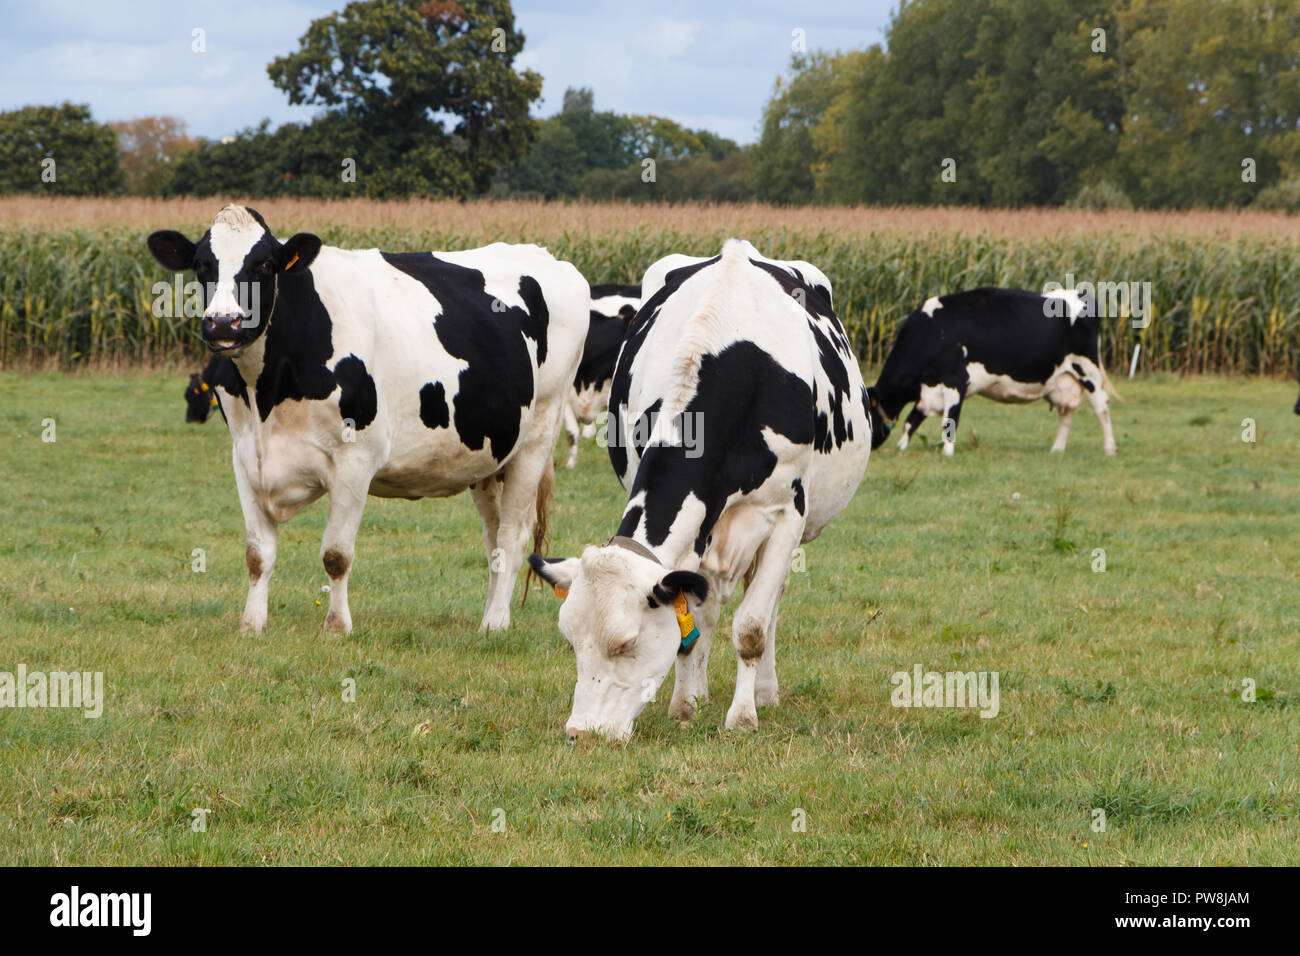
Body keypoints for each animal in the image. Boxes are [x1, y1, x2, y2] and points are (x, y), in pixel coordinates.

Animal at [147, 204, 588, 634]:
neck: (268, 395)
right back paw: (489, 620)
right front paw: (251, 626)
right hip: (489, 453)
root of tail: (548, 257)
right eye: (202, 265)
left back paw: (495, 624)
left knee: (512, 536)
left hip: (537, 437)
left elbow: (336, 555)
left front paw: (337, 627)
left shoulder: (355, 461)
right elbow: (258, 554)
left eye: (265, 265)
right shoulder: (246, 458)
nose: (224, 323)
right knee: (494, 539)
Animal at [872, 287, 1118, 457]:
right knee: (1066, 413)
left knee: (1102, 408)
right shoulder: (928, 390)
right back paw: (1057, 449)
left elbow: (950, 420)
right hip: (1064, 379)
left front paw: (947, 452)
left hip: (1089, 370)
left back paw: (1109, 449)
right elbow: (911, 421)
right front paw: (901, 447)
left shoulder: (956, 380)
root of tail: (1080, 293)